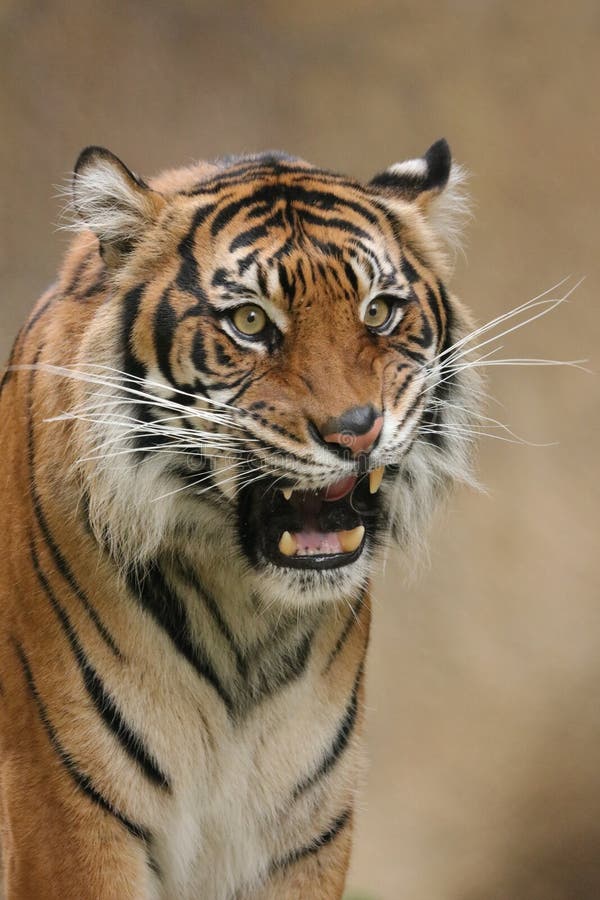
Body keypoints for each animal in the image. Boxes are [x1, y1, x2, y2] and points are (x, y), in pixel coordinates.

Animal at [0, 139, 479, 899]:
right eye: (251, 322)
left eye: (378, 311)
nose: (357, 432)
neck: (247, 620)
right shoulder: (66, 815)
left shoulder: (304, 835)